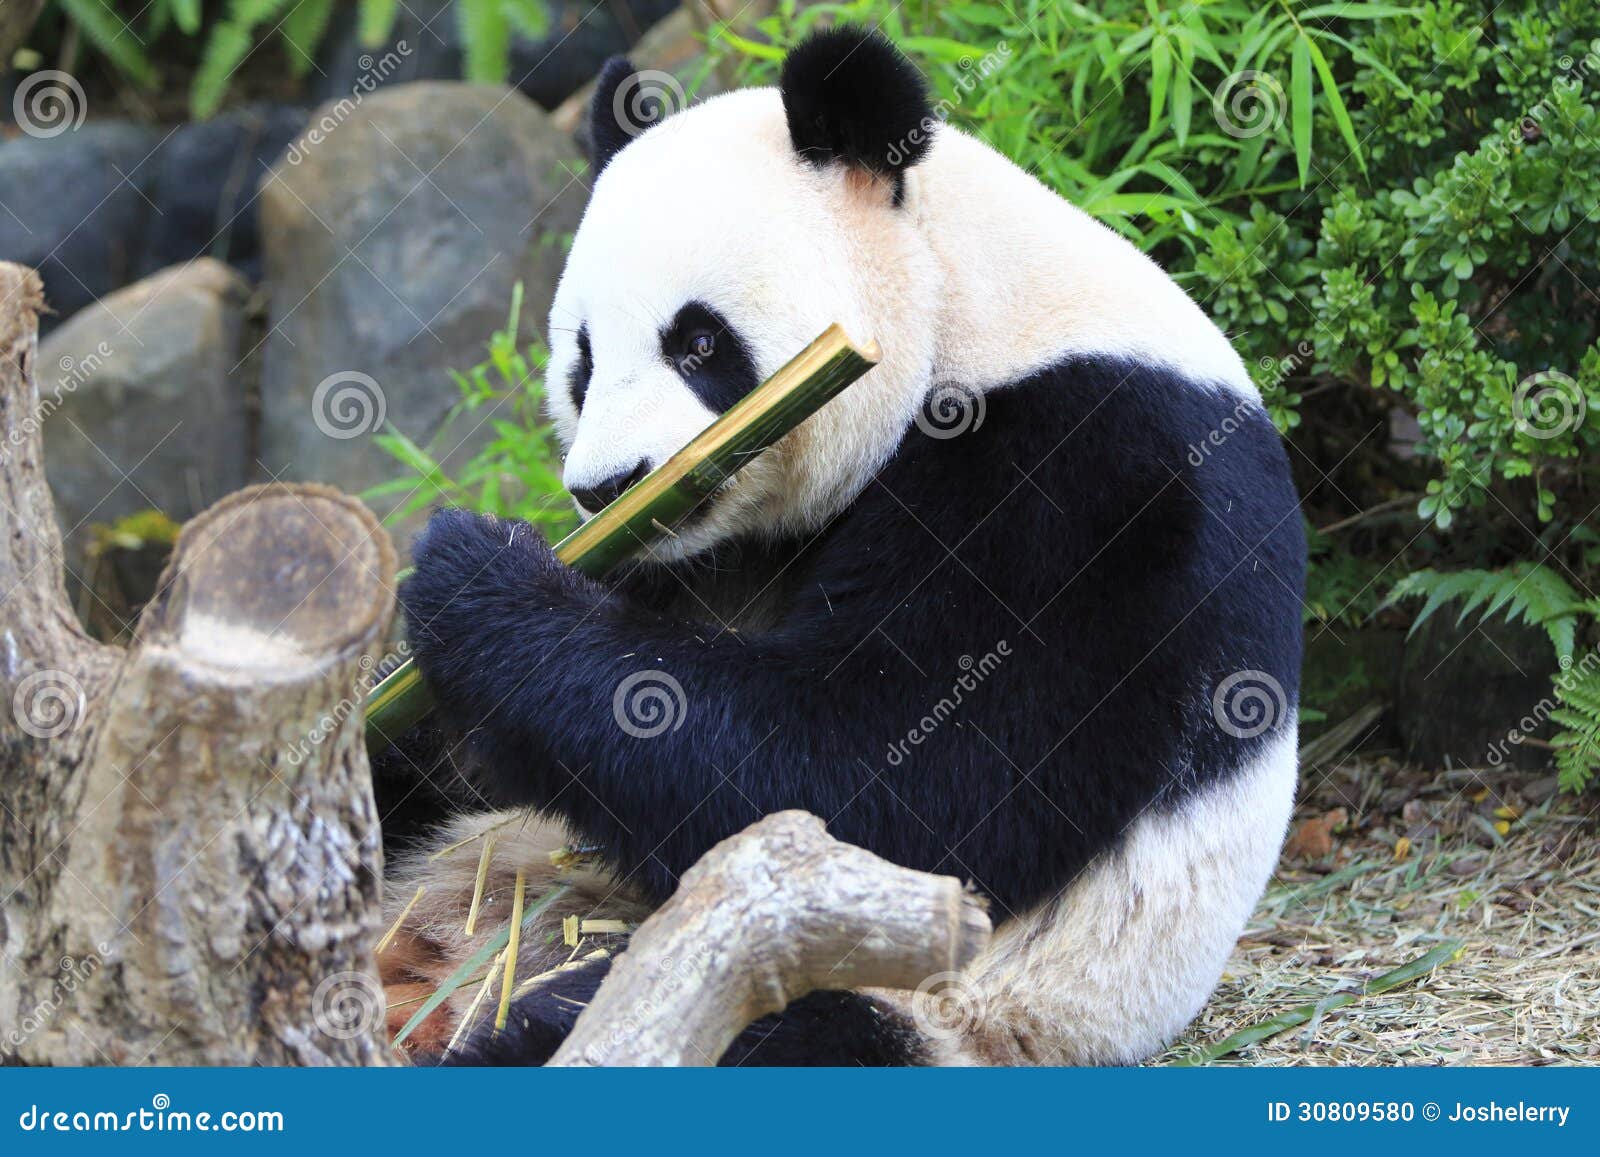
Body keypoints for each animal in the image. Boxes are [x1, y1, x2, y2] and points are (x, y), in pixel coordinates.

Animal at [375, 25, 1305, 1066]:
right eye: (581, 359)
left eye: (698, 344)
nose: (608, 487)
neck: (962, 300)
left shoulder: (1095, 473)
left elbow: (885, 778)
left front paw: (475, 583)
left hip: (950, 1011)